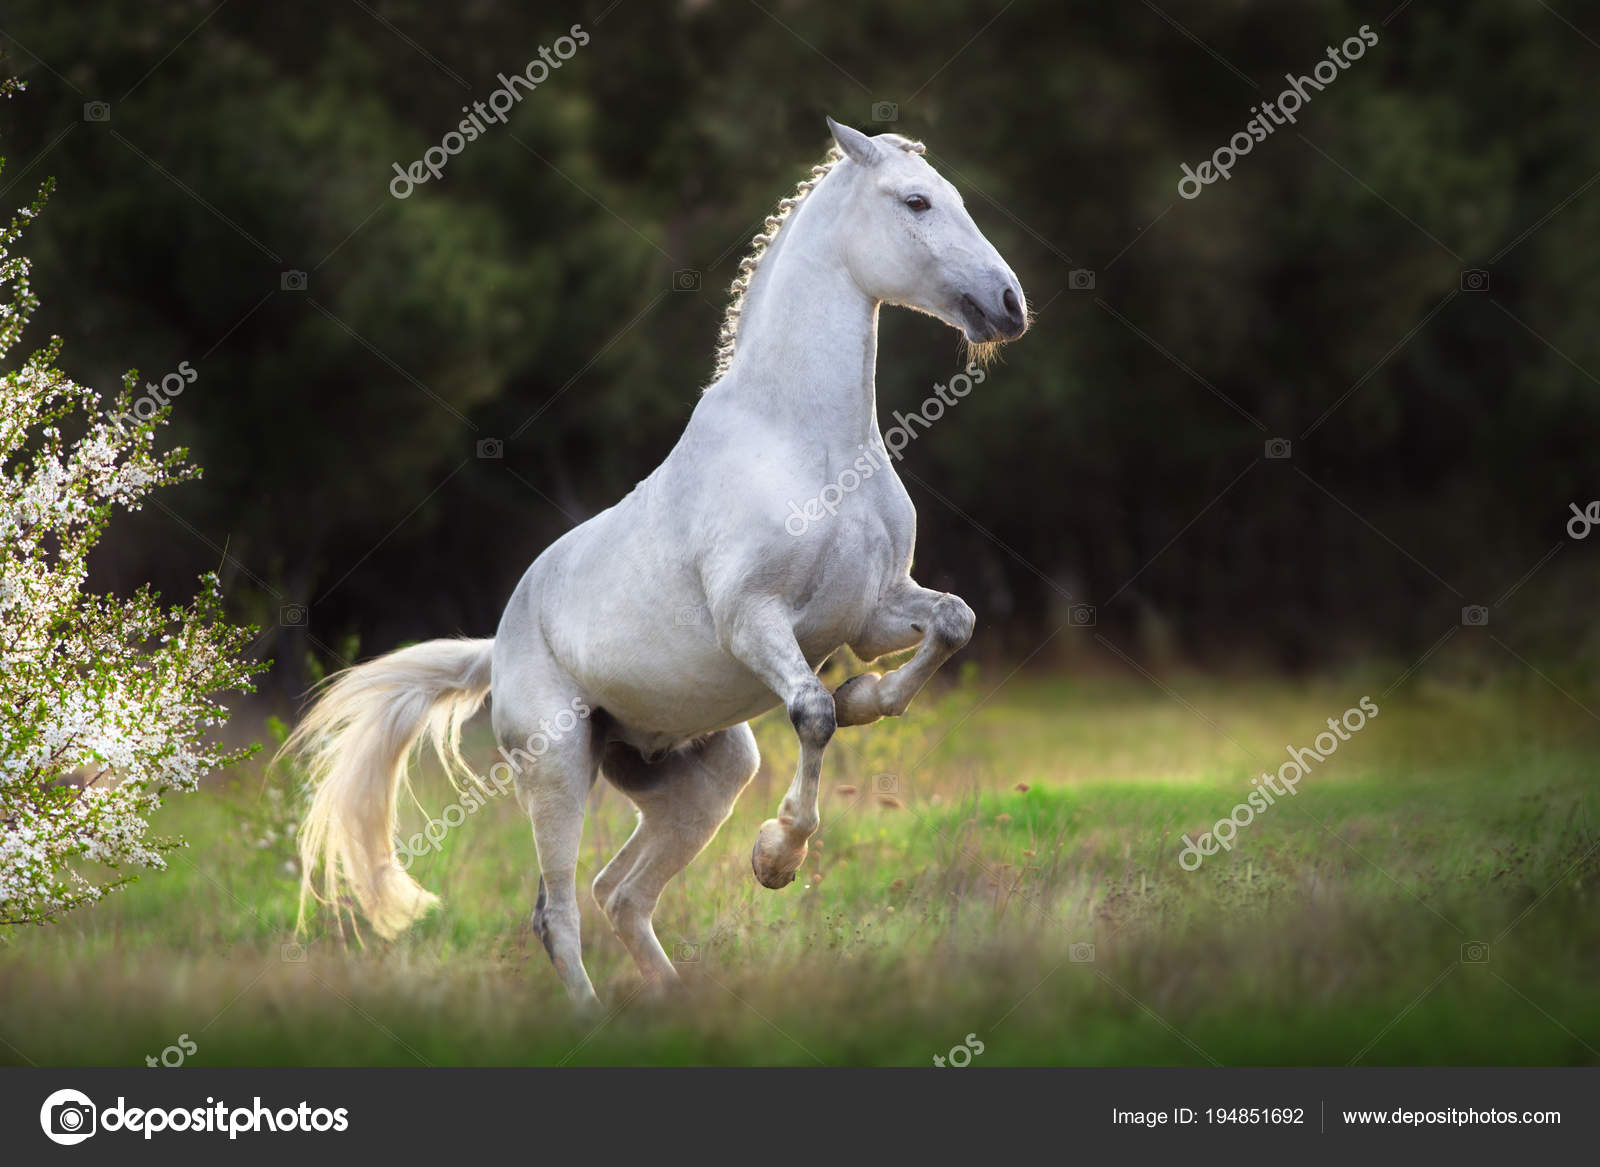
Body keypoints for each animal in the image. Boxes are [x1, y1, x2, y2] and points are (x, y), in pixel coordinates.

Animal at [286, 117, 1028, 1009]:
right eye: (916, 201)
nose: (1009, 304)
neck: (809, 445)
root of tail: (496, 647)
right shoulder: (755, 619)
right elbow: (812, 712)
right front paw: (777, 856)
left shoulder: (874, 611)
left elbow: (950, 623)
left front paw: (866, 700)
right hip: (558, 769)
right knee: (559, 913)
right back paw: (594, 1018)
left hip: (705, 775)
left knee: (622, 893)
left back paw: (676, 1002)